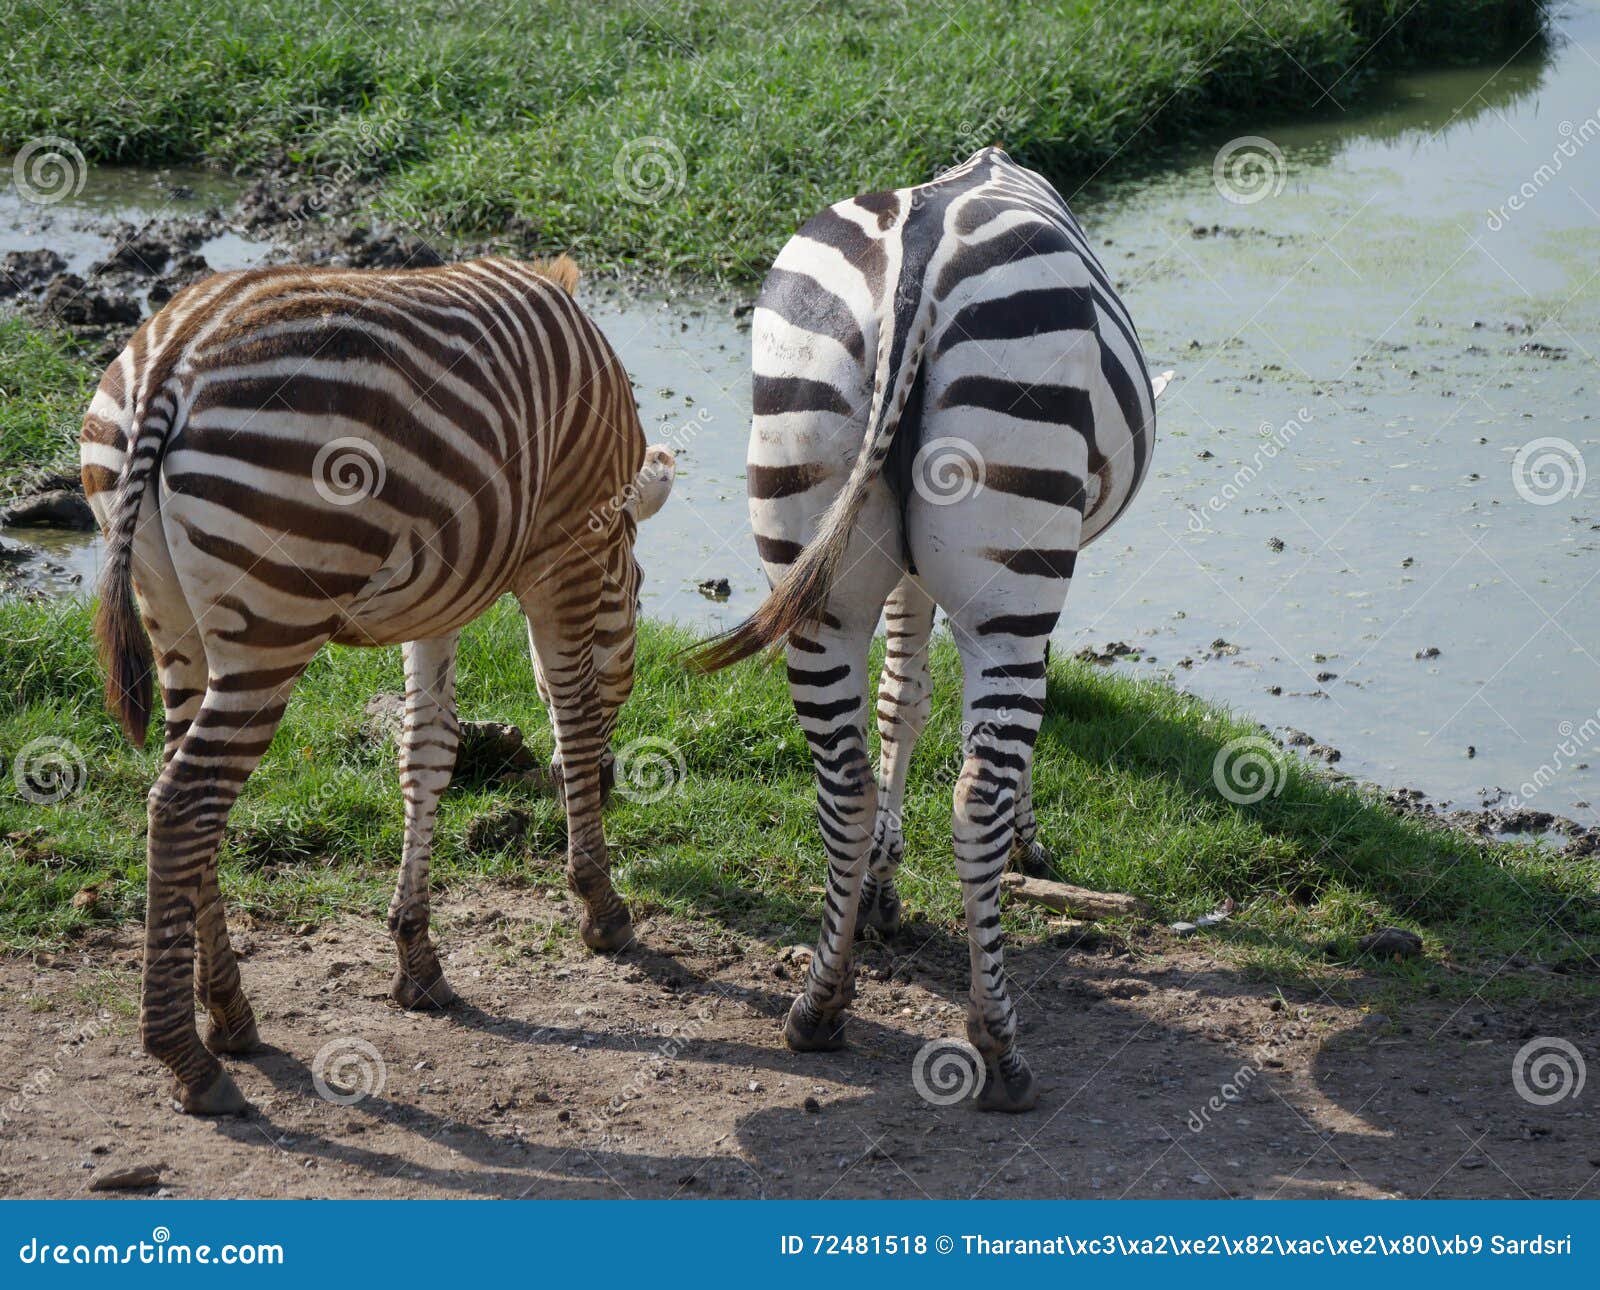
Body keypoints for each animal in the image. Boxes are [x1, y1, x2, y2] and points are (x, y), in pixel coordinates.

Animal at [79, 255, 675, 1115]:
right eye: (640, 593)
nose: (608, 783)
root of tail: (172, 358)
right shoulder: (565, 552)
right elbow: (573, 708)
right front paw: (601, 906)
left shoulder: (446, 591)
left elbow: (426, 754)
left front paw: (417, 958)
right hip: (272, 620)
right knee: (184, 804)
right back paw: (187, 1058)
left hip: (175, 619)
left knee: (184, 797)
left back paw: (228, 1015)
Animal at [694, 147, 1167, 1111]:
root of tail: (913, 267)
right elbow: (966, 722)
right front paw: (1028, 839)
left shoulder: (904, 576)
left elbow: (899, 699)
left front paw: (880, 885)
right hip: (1010, 585)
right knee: (977, 794)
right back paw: (1000, 1046)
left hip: (817, 572)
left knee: (840, 785)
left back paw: (820, 1006)